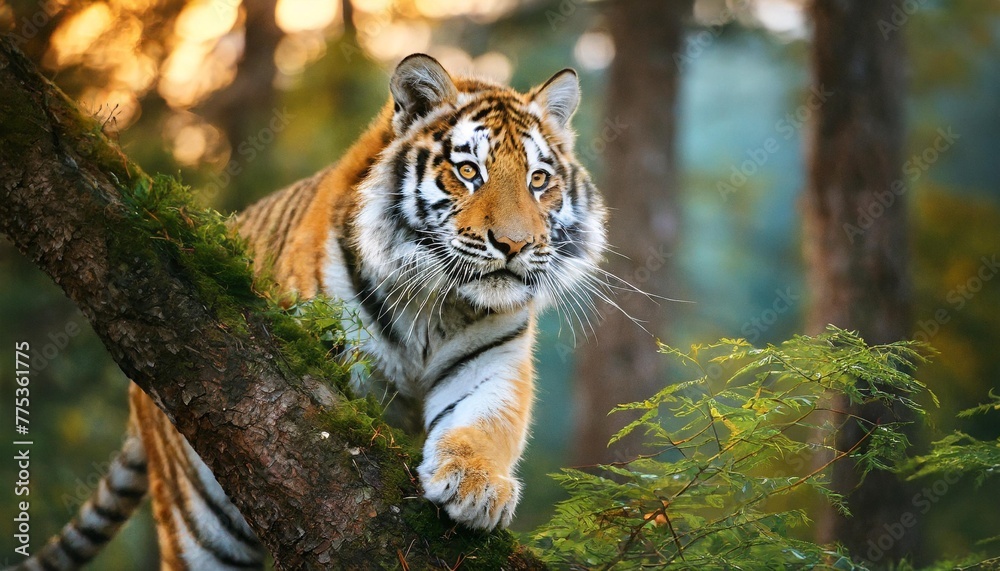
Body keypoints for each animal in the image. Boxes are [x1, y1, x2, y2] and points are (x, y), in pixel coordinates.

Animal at [18, 53, 607, 570]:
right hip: (200, 519)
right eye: (467, 172)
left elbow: (483, 424)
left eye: (538, 180)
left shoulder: (493, 363)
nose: (515, 245)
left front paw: (477, 488)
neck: (436, 302)